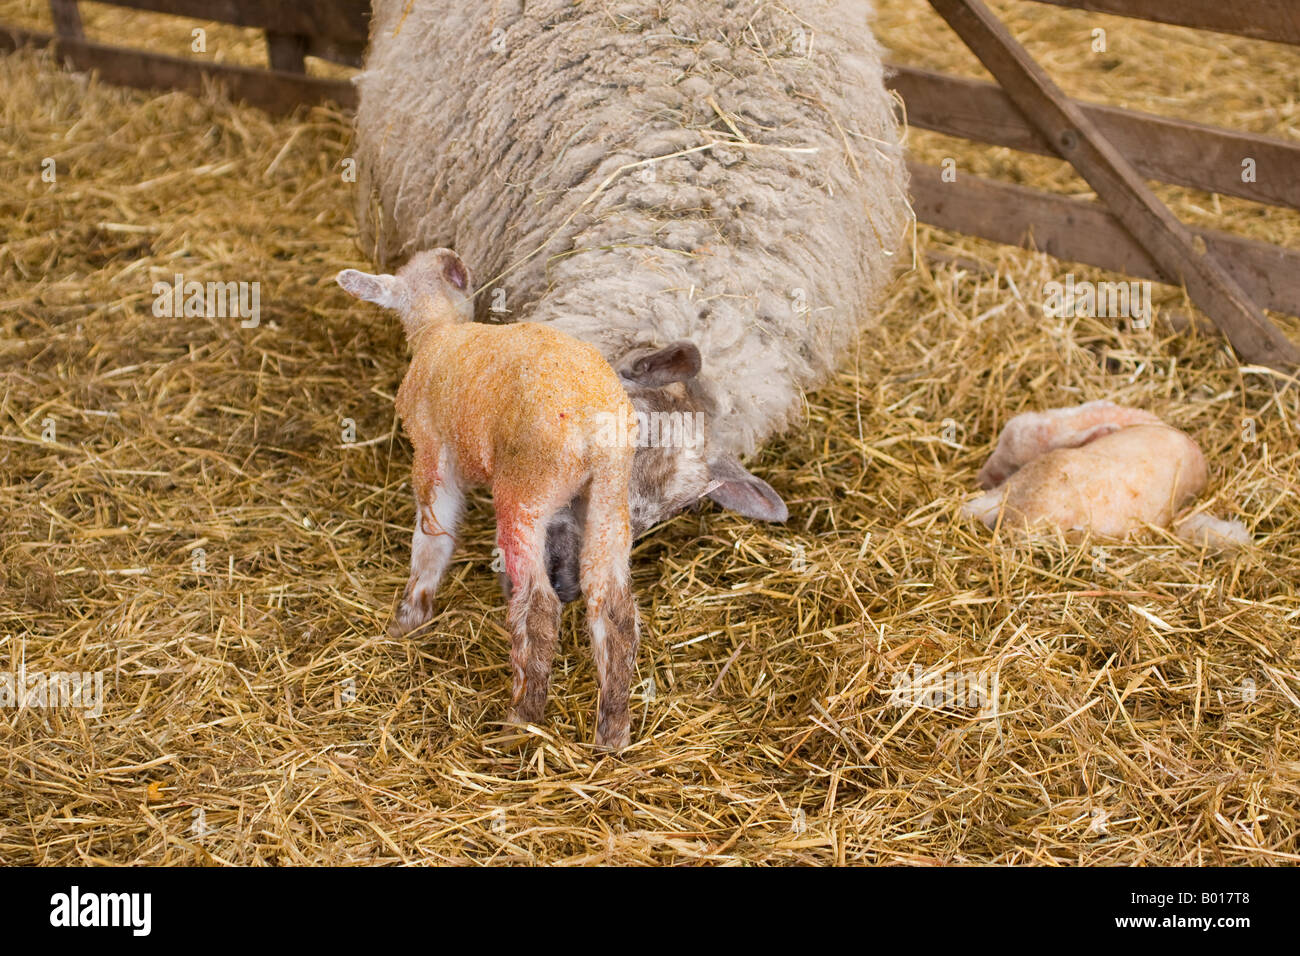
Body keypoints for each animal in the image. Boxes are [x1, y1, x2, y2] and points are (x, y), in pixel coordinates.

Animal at [336, 249, 642, 750]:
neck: (437, 328)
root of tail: (589, 421)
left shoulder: (432, 453)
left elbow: (432, 537)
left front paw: (409, 617)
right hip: (610, 495)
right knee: (611, 606)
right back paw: (612, 730)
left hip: (526, 490)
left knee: (539, 606)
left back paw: (521, 717)